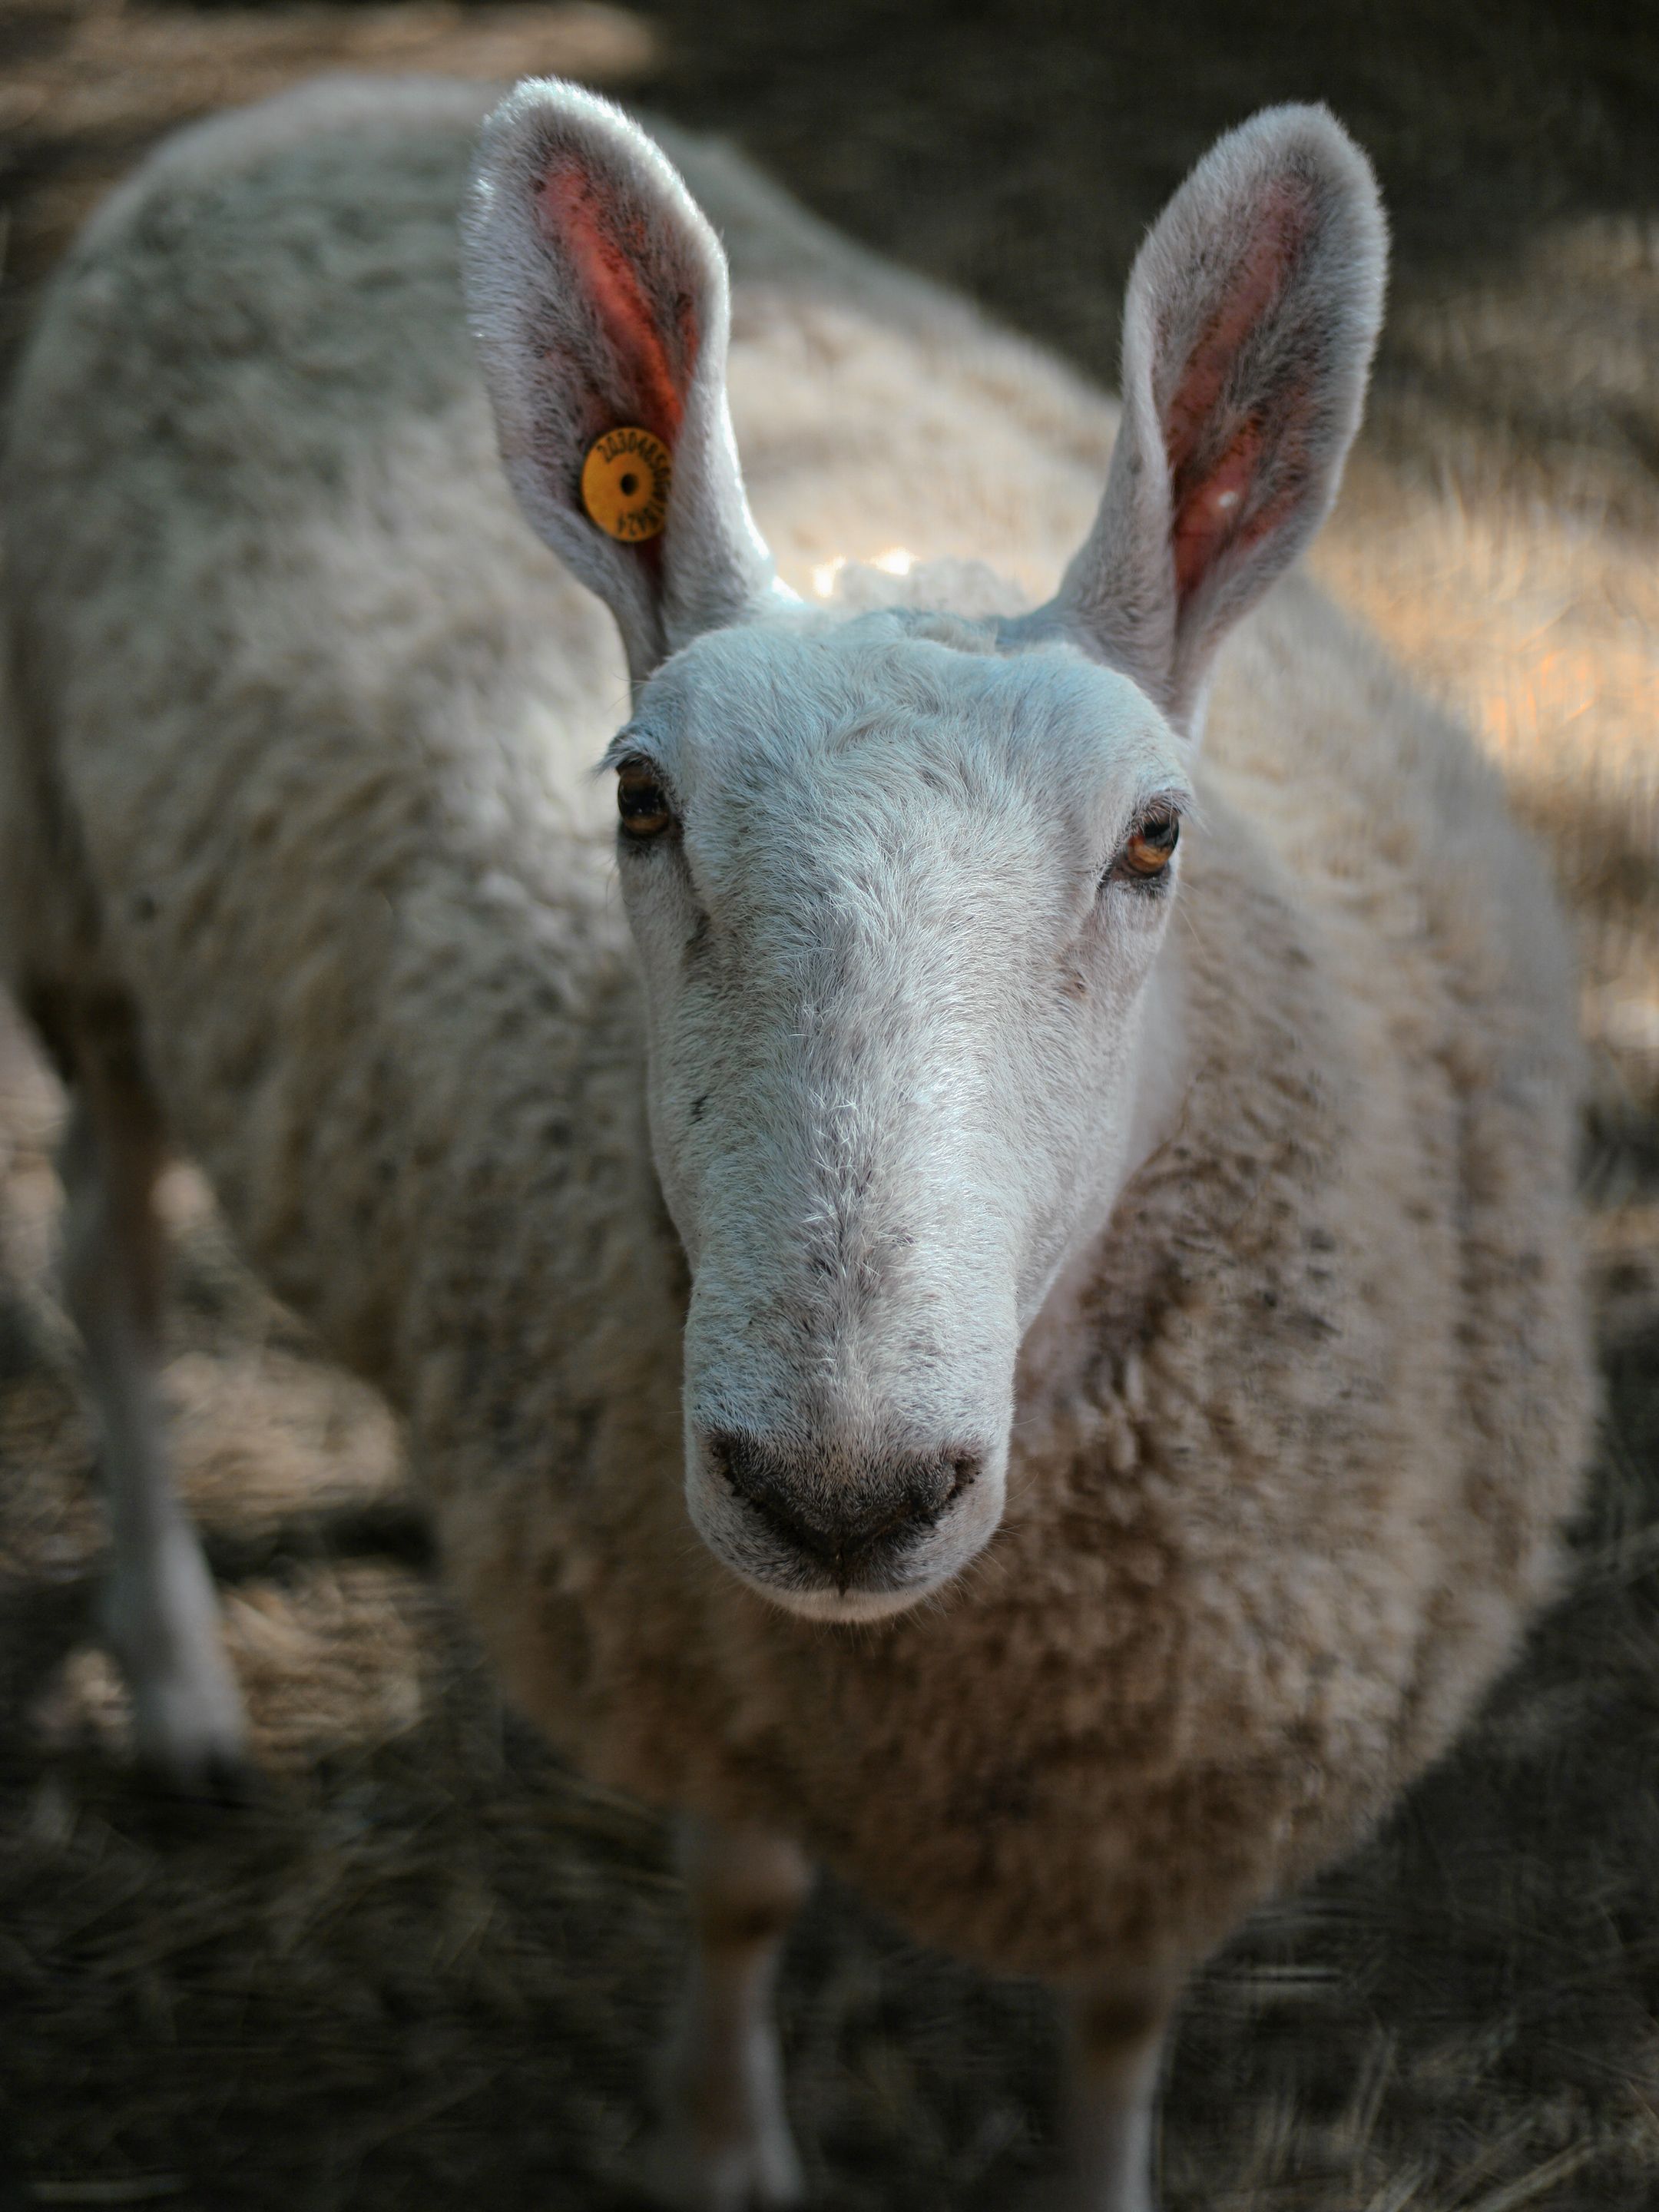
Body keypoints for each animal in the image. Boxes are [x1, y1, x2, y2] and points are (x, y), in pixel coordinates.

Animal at [0, 70, 1592, 2212]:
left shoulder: (1187, 1781)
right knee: (110, 1263)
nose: (842, 1492)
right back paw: (175, 1678)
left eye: (1157, 837)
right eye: (640, 801)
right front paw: (725, 2140)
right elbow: (743, 1902)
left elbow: (1119, 2028)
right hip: (80, 907)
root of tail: (327, 94)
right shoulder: (711, 1667)